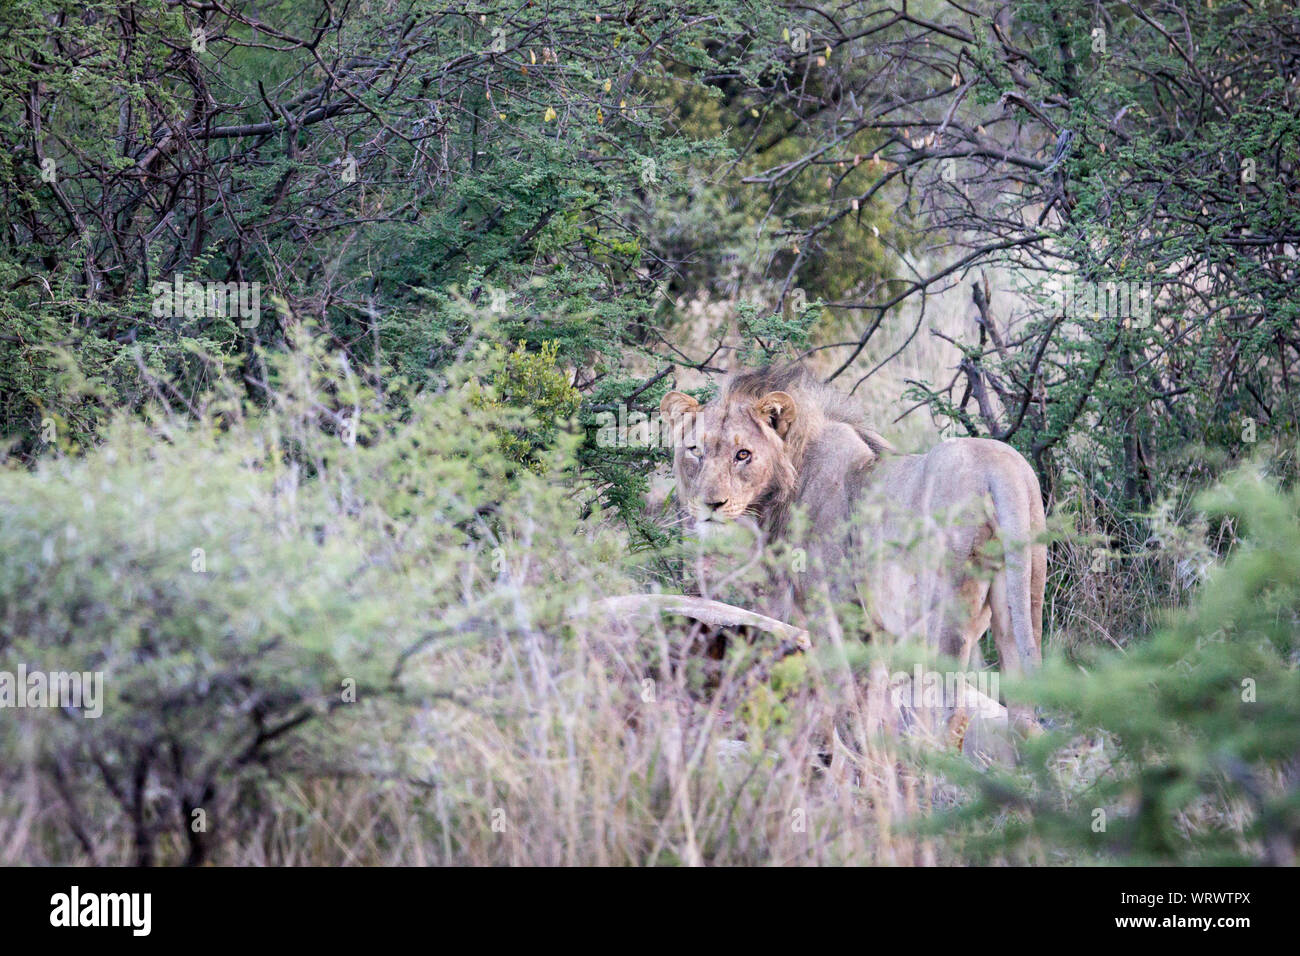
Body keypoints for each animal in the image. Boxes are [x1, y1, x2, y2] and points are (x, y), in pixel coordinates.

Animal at [660, 363, 1046, 734]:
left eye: (743, 455)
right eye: (696, 451)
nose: (710, 504)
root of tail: (1003, 468)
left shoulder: (838, 615)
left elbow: (848, 703)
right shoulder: (876, 627)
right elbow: (875, 706)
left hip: (944, 614)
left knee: (954, 712)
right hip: (1023, 601)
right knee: (1023, 717)